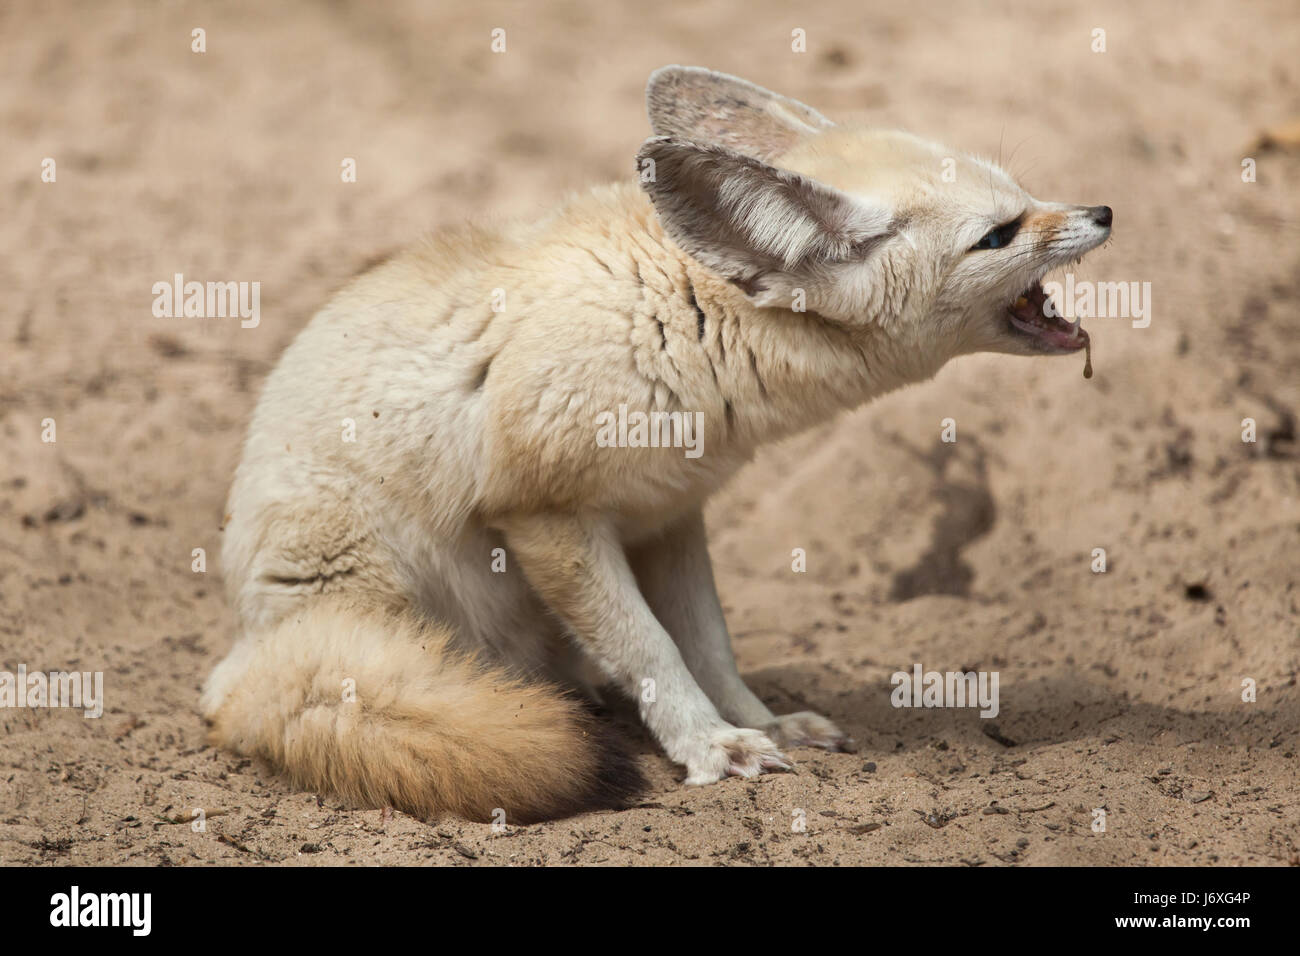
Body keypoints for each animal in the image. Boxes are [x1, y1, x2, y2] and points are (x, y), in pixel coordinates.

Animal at [201, 66, 1112, 823]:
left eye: (1024, 193)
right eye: (999, 234)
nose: (1104, 211)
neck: (687, 315)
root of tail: (243, 659)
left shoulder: (672, 516)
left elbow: (709, 645)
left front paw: (760, 724)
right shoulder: (548, 516)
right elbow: (652, 648)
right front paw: (709, 745)